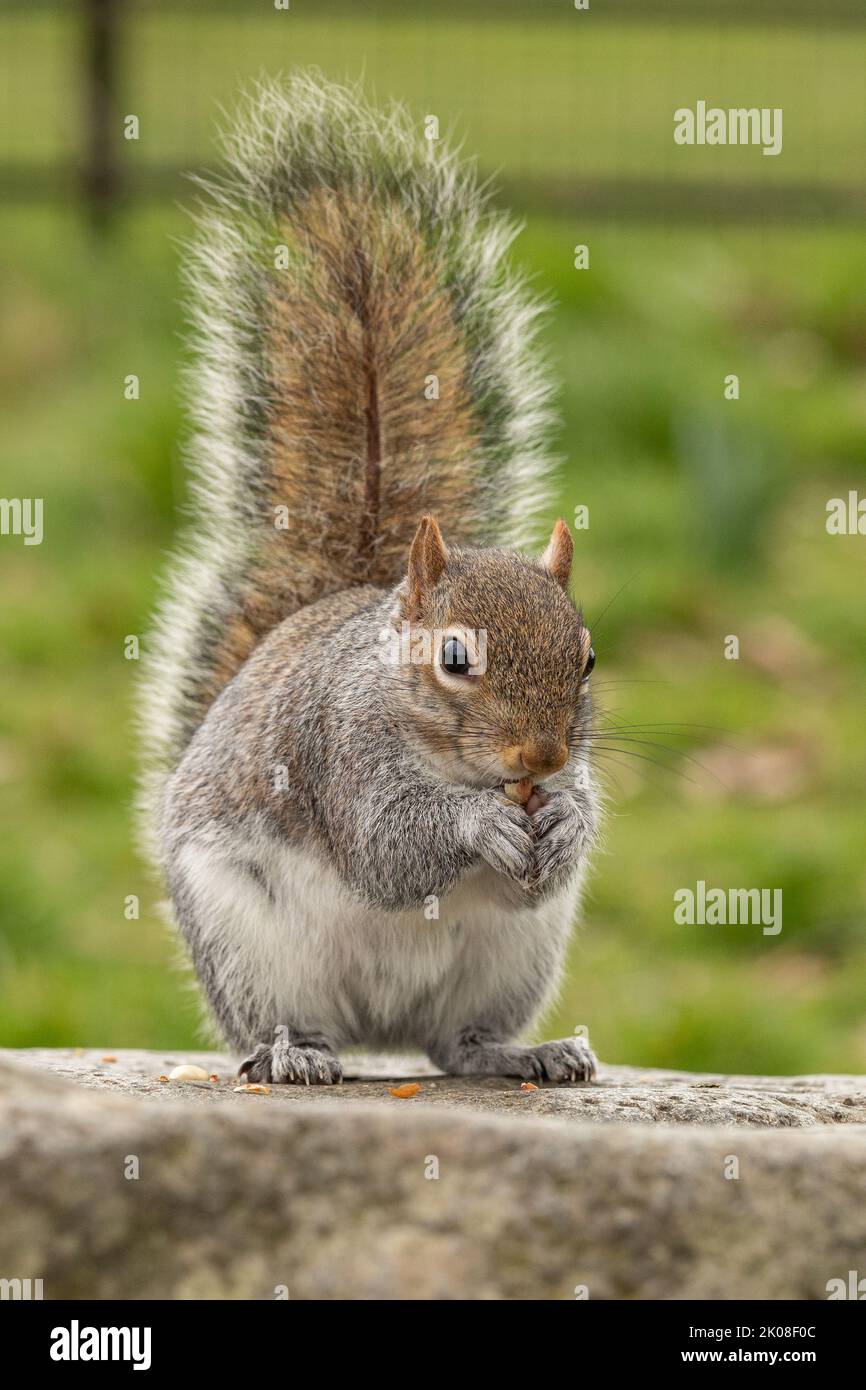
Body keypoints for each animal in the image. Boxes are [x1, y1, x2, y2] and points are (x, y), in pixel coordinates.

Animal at [139, 73, 600, 1086]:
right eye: (456, 659)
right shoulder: (335, 754)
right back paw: (295, 1055)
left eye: (587, 659)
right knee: (282, 1022)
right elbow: (390, 848)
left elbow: (565, 838)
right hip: (247, 945)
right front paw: (478, 829)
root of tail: (377, 1030)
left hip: (515, 956)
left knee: (458, 1045)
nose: (542, 760)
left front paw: (562, 825)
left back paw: (528, 1052)